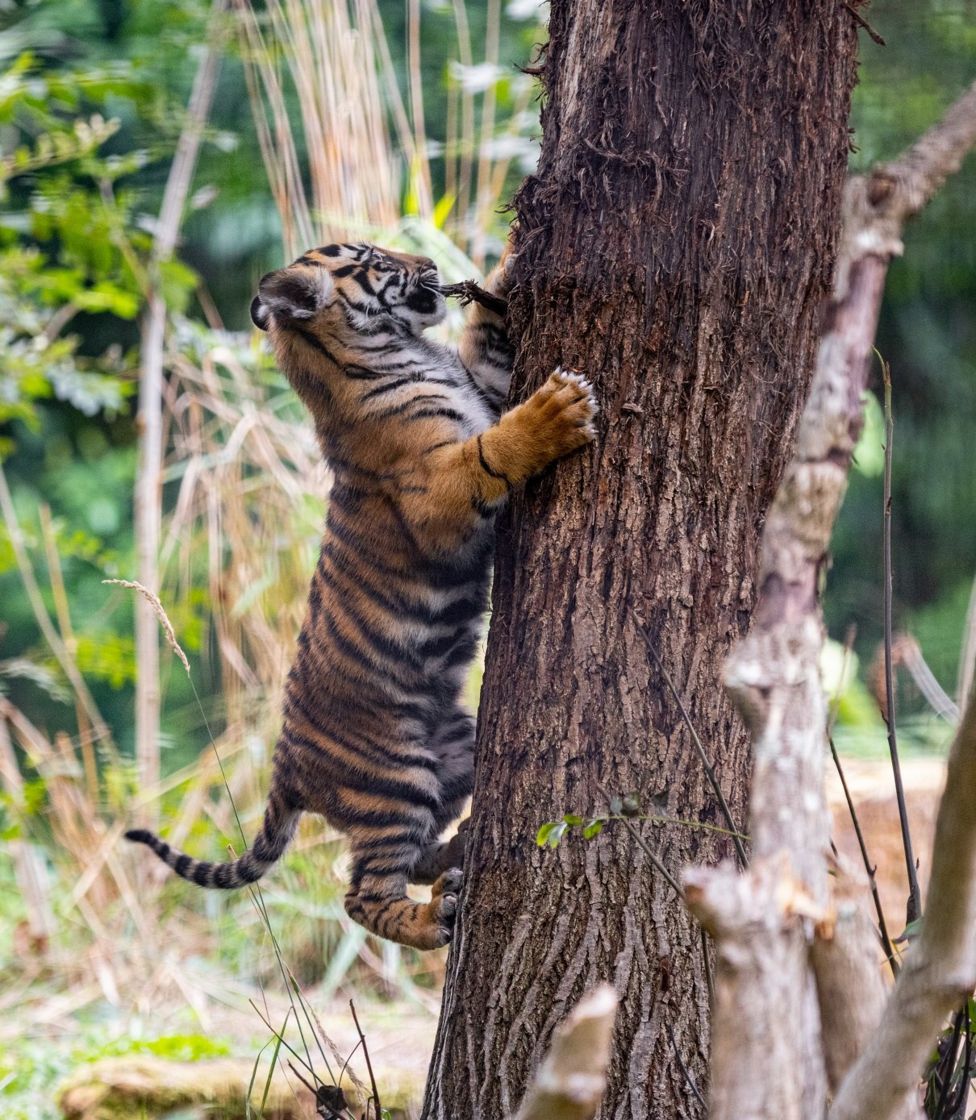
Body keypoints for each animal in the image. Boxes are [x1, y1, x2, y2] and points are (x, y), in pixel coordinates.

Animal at [126, 239, 598, 949]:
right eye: (373, 257)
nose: (428, 261)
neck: (400, 351)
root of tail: (286, 766)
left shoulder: (483, 387)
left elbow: (487, 346)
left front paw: (510, 259)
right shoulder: (437, 491)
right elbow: (494, 448)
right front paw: (556, 411)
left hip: (455, 751)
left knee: (419, 855)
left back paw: (460, 856)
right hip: (394, 781)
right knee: (362, 896)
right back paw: (434, 917)